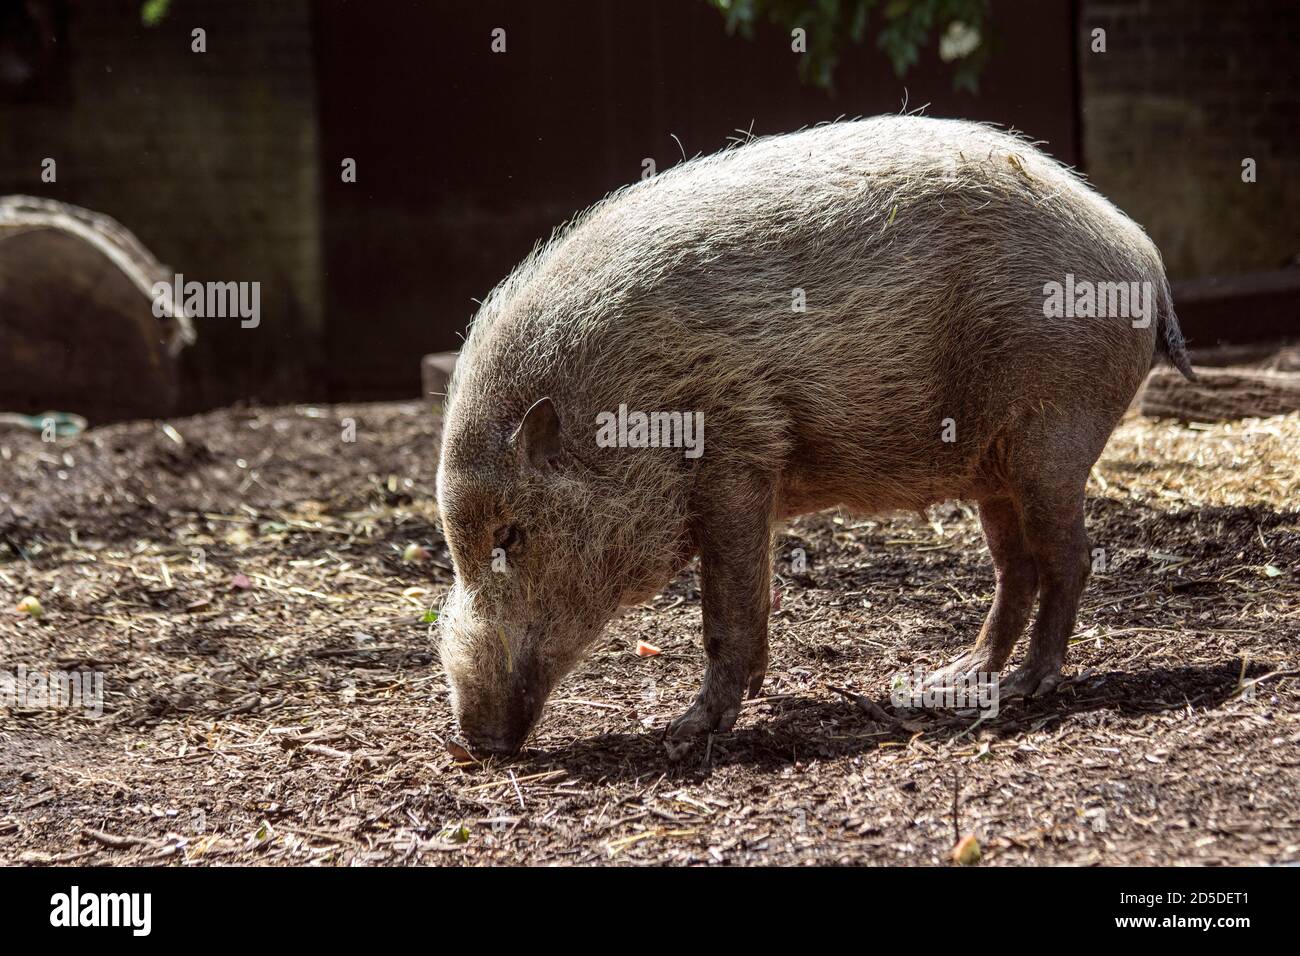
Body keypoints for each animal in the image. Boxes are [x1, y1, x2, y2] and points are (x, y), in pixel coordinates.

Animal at [435, 115, 1193, 756]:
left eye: (510, 534)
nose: (475, 742)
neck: (622, 410)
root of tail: (1146, 261)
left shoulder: (738, 458)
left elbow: (728, 603)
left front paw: (685, 732)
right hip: (994, 469)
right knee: (1017, 567)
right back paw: (947, 682)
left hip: (1052, 437)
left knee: (1071, 558)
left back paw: (1024, 687)